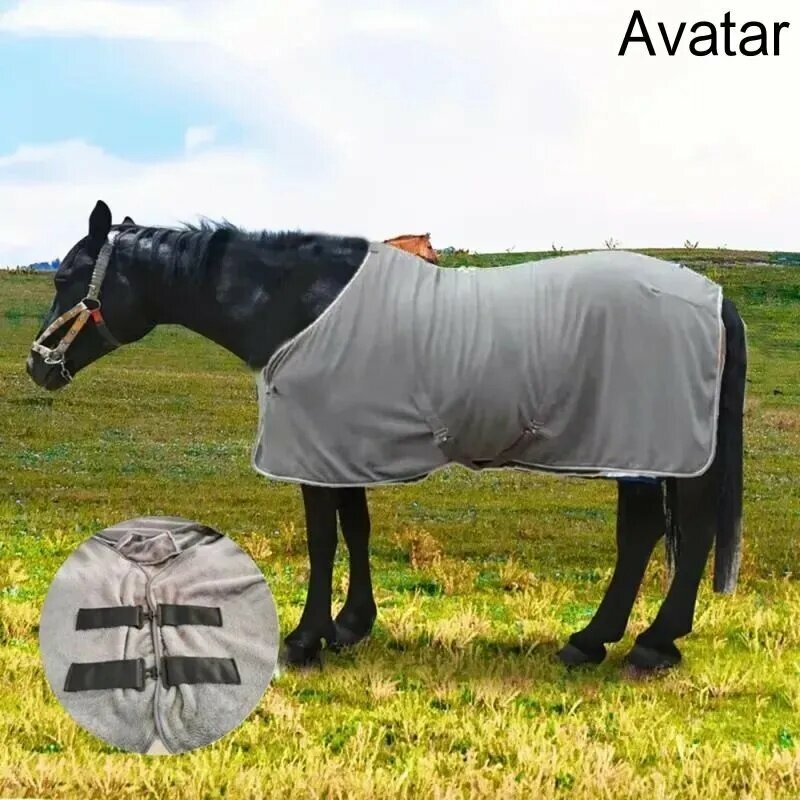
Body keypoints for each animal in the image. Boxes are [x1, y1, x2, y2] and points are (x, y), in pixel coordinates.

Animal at [27, 201, 747, 672]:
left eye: (65, 277)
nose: (38, 364)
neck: (299, 305)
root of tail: (714, 298)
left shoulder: (315, 451)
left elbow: (323, 538)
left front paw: (305, 639)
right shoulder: (340, 448)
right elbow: (356, 528)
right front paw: (351, 626)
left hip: (650, 451)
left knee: (670, 533)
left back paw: (646, 644)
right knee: (650, 535)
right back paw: (603, 640)